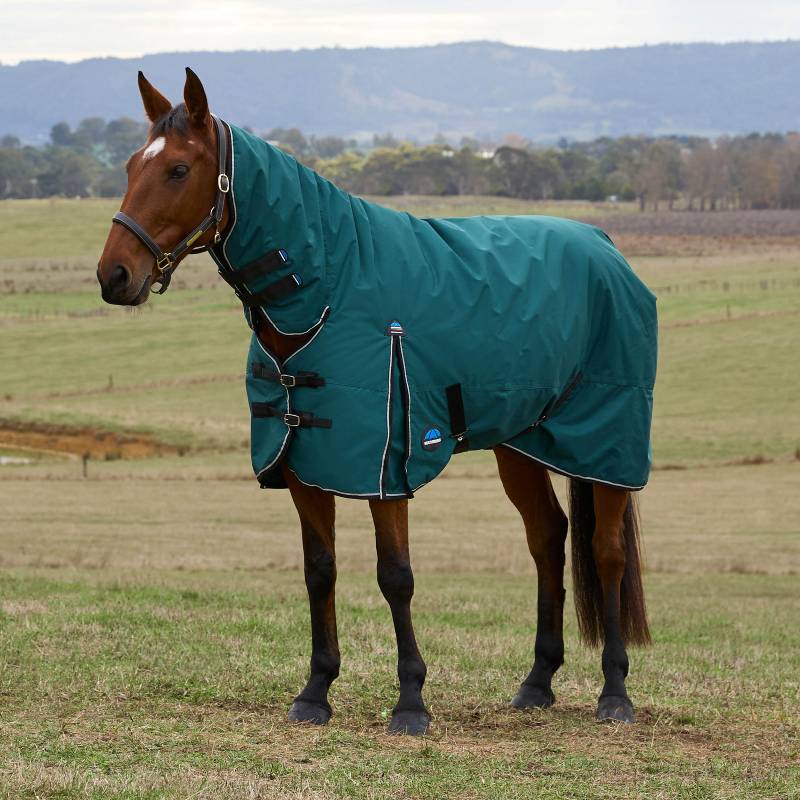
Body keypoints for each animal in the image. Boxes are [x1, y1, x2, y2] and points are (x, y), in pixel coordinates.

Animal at [97, 68, 654, 736]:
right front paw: (316, 691)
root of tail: (605, 244)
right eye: (132, 165)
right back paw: (537, 682)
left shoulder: (386, 467)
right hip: (521, 444)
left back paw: (615, 692)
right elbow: (320, 572)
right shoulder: (307, 461)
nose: (113, 276)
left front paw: (411, 701)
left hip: (606, 444)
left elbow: (396, 577)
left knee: (606, 553)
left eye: (178, 169)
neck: (329, 290)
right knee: (548, 538)